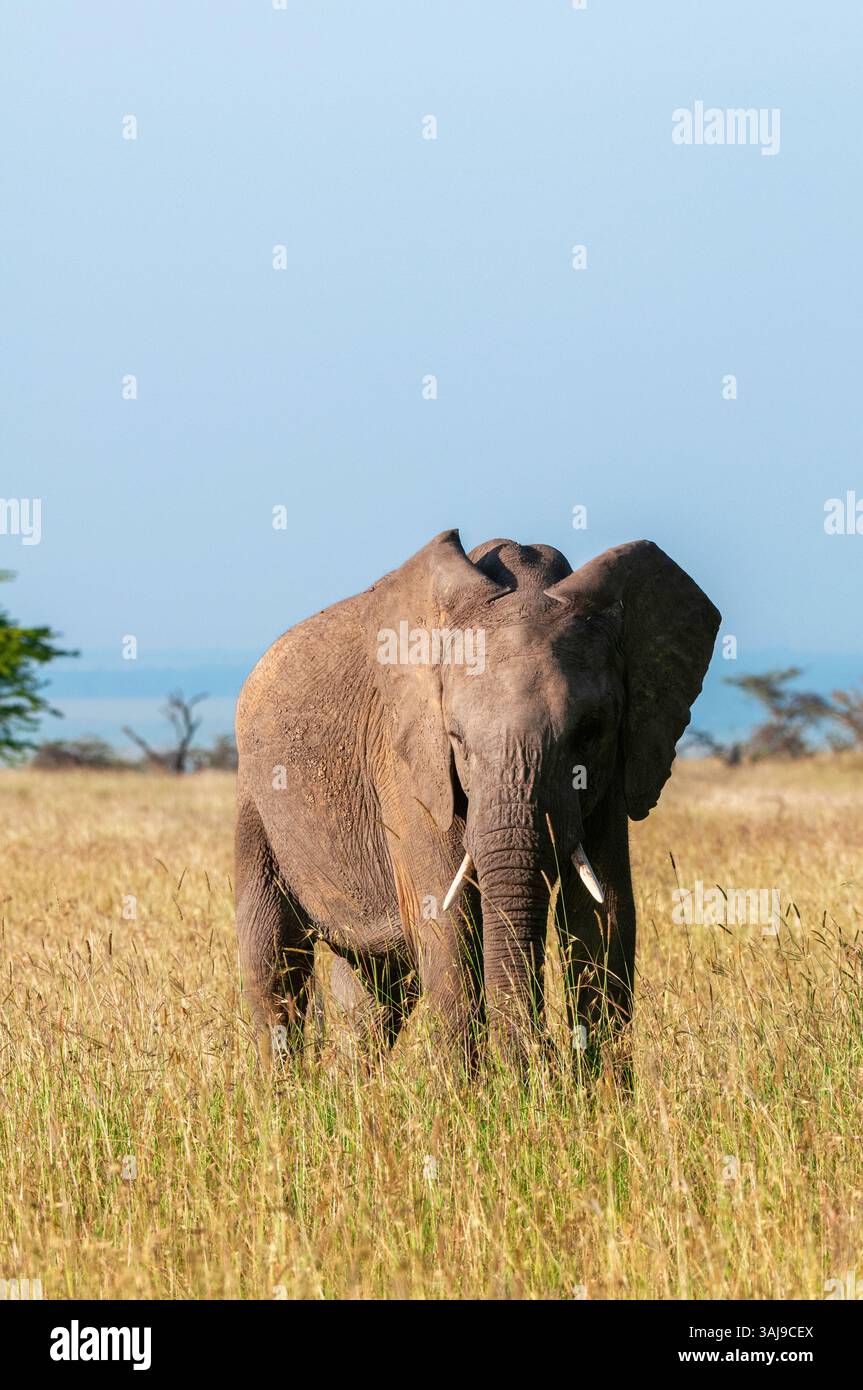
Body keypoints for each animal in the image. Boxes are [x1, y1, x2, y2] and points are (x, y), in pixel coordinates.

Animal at [235, 529, 720, 1065]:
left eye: (589, 733)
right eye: (457, 739)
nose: (543, 1056)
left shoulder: (617, 763)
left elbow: (604, 916)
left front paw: (600, 1086)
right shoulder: (409, 769)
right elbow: (449, 925)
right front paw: (476, 1086)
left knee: (373, 989)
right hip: (255, 804)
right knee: (273, 963)